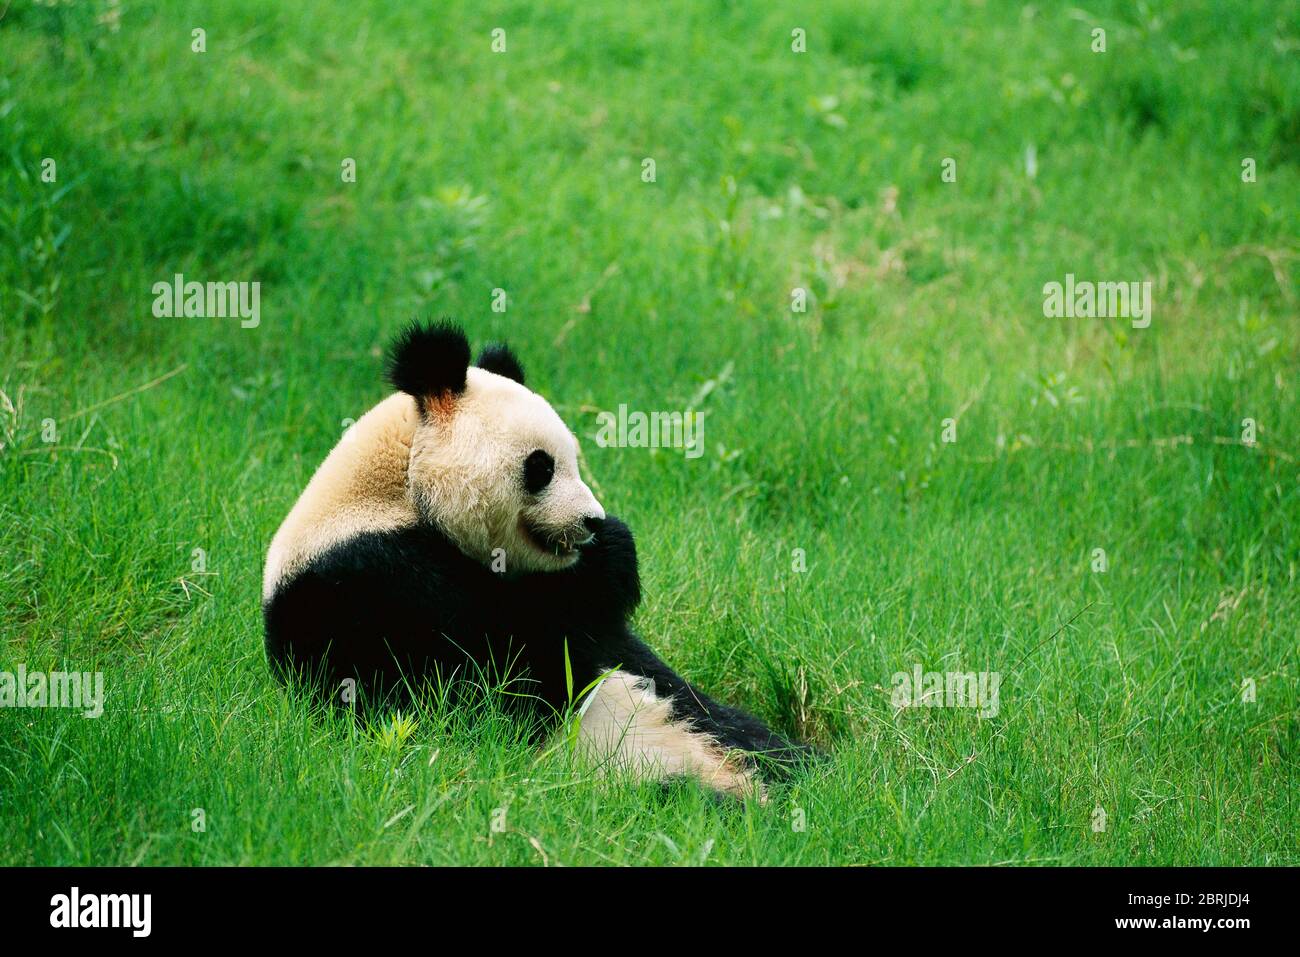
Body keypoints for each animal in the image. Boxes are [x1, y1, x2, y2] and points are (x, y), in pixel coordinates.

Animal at [263, 320, 810, 799]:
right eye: (541, 466)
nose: (591, 520)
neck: (398, 493)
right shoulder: (373, 583)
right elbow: (515, 676)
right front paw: (603, 565)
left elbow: (611, 644)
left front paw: (610, 551)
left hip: (700, 725)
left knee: (755, 741)